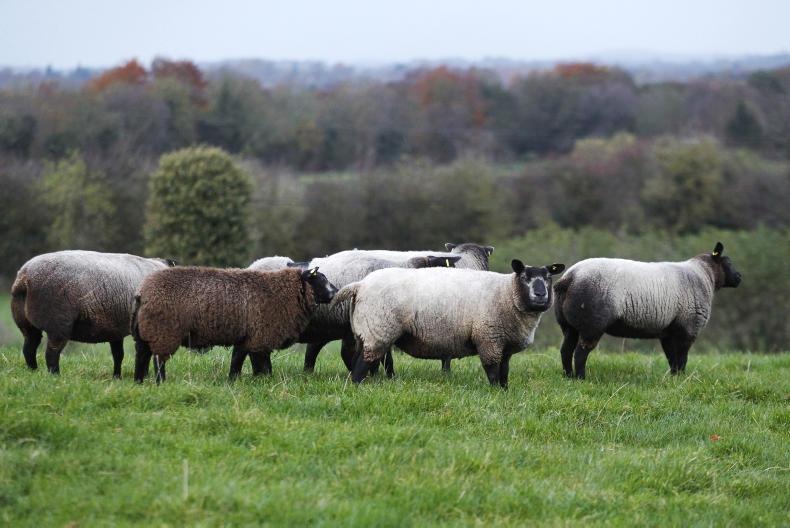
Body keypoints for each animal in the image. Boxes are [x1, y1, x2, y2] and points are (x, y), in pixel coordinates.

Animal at [10, 250, 176, 377]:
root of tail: (24, 278)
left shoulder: (114, 330)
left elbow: (118, 355)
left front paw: (117, 377)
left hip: (26, 323)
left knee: (29, 348)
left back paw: (33, 372)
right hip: (58, 325)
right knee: (51, 354)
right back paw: (55, 376)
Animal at [131, 266, 338, 383]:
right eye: (320, 279)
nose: (335, 291)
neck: (286, 292)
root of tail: (142, 292)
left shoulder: (249, 337)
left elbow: (239, 360)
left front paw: (236, 381)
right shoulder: (260, 336)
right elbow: (260, 364)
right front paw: (263, 382)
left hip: (145, 331)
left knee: (141, 355)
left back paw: (139, 381)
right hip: (163, 330)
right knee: (158, 359)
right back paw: (161, 382)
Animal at [336, 259, 565, 387]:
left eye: (548, 277)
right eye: (525, 277)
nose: (540, 294)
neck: (507, 293)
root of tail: (360, 285)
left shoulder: (504, 345)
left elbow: (504, 371)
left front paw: (505, 390)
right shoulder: (488, 338)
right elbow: (492, 370)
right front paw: (495, 392)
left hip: (365, 330)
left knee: (357, 359)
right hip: (378, 329)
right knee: (362, 364)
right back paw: (358, 386)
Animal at [553, 242, 742, 379]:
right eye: (728, 262)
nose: (739, 277)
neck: (704, 275)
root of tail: (569, 278)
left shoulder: (668, 332)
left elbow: (672, 358)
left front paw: (673, 379)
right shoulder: (688, 328)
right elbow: (682, 357)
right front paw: (682, 379)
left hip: (569, 324)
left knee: (565, 350)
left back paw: (568, 376)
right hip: (592, 324)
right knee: (580, 352)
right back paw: (581, 378)